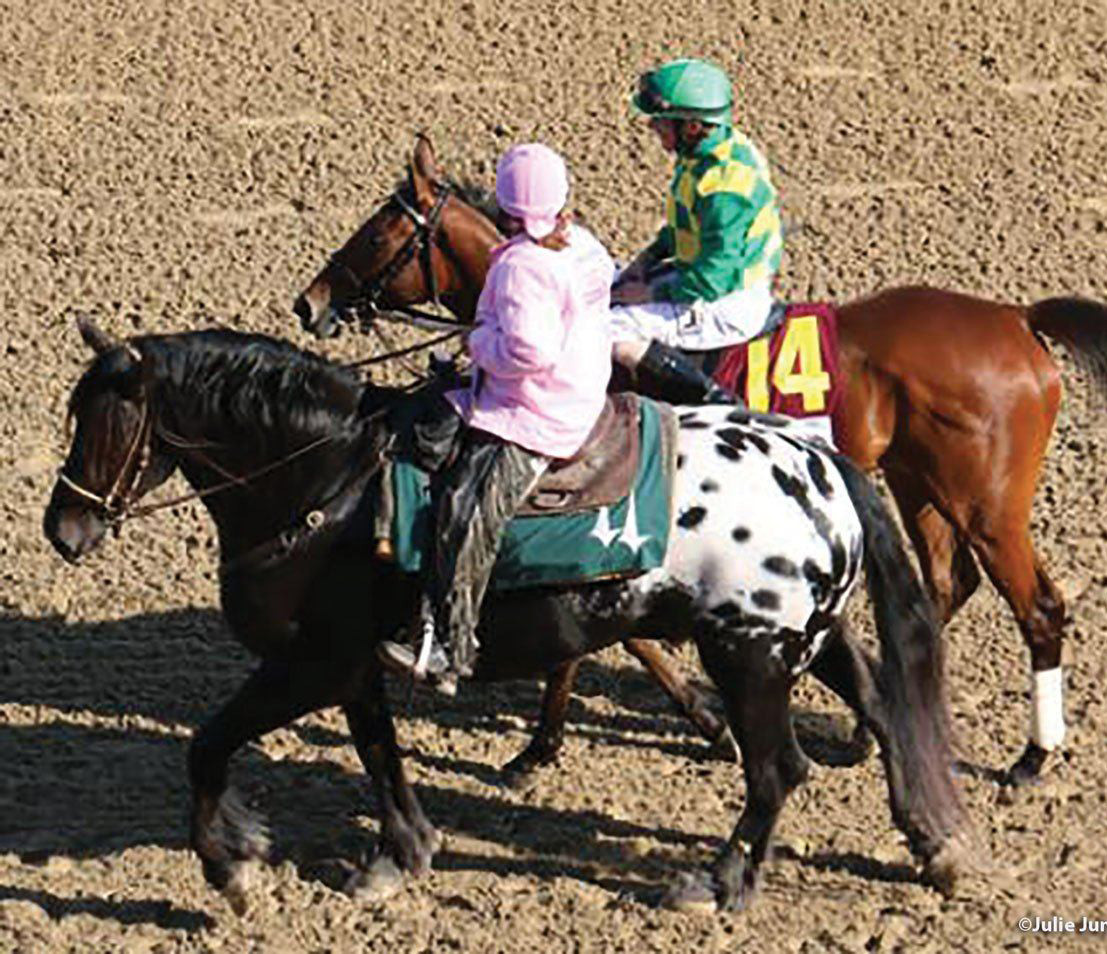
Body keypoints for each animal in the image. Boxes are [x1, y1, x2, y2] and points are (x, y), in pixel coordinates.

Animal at [44, 318, 966, 915]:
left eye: (104, 418)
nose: (63, 529)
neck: (329, 484)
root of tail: (818, 461)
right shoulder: (353, 665)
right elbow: (379, 754)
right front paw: (400, 856)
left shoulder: (307, 663)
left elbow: (208, 745)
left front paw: (233, 872)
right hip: (803, 639)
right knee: (877, 703)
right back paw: (932, 844)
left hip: (750, 658)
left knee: (778, 769)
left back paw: (719, 886)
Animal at [293, 135, 1107, 784]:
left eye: (377, 235)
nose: (310, 302)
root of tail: (1017, 319)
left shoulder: (602, 510)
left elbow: (602, 640)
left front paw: (549, 748)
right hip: (919, 486)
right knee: (943, 586)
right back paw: (868, 726)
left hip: (986, 503)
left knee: (1038, 607)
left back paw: (1032, 757)